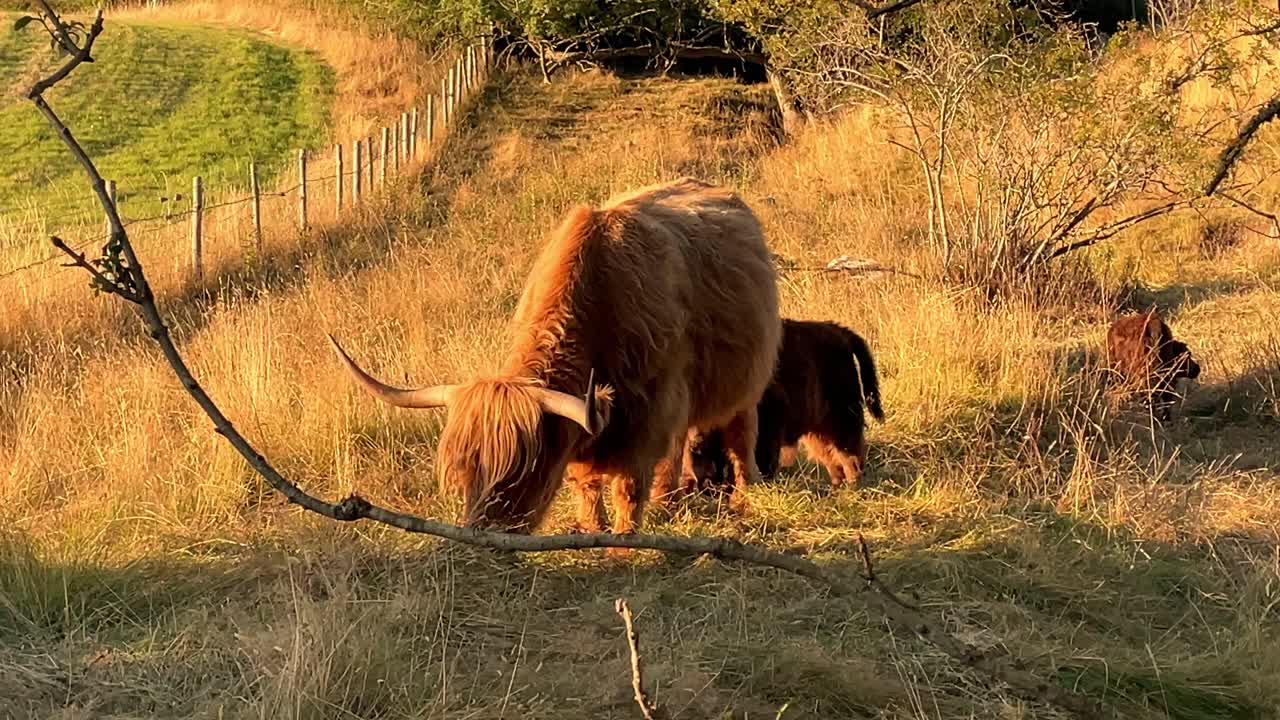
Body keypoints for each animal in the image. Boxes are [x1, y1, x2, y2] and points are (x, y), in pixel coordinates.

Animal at [328, 177, 781, 546]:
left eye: (521, 472)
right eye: (465, 470)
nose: (484, 537)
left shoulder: (650, 414)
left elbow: (628, 486)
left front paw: (622, 544)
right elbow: (587, 482)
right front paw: (592, 528)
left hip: (746, 381)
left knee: (740, 434)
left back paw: (743, 493)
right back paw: (674, 496)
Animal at [684, 319, 885, 492]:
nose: (704, 485)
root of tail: (839, 331)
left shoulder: (770, 421)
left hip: (842, 418)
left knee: (850, 454)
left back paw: (853, 486)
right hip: (819, 428)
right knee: (831, 455)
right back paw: (838, 487)